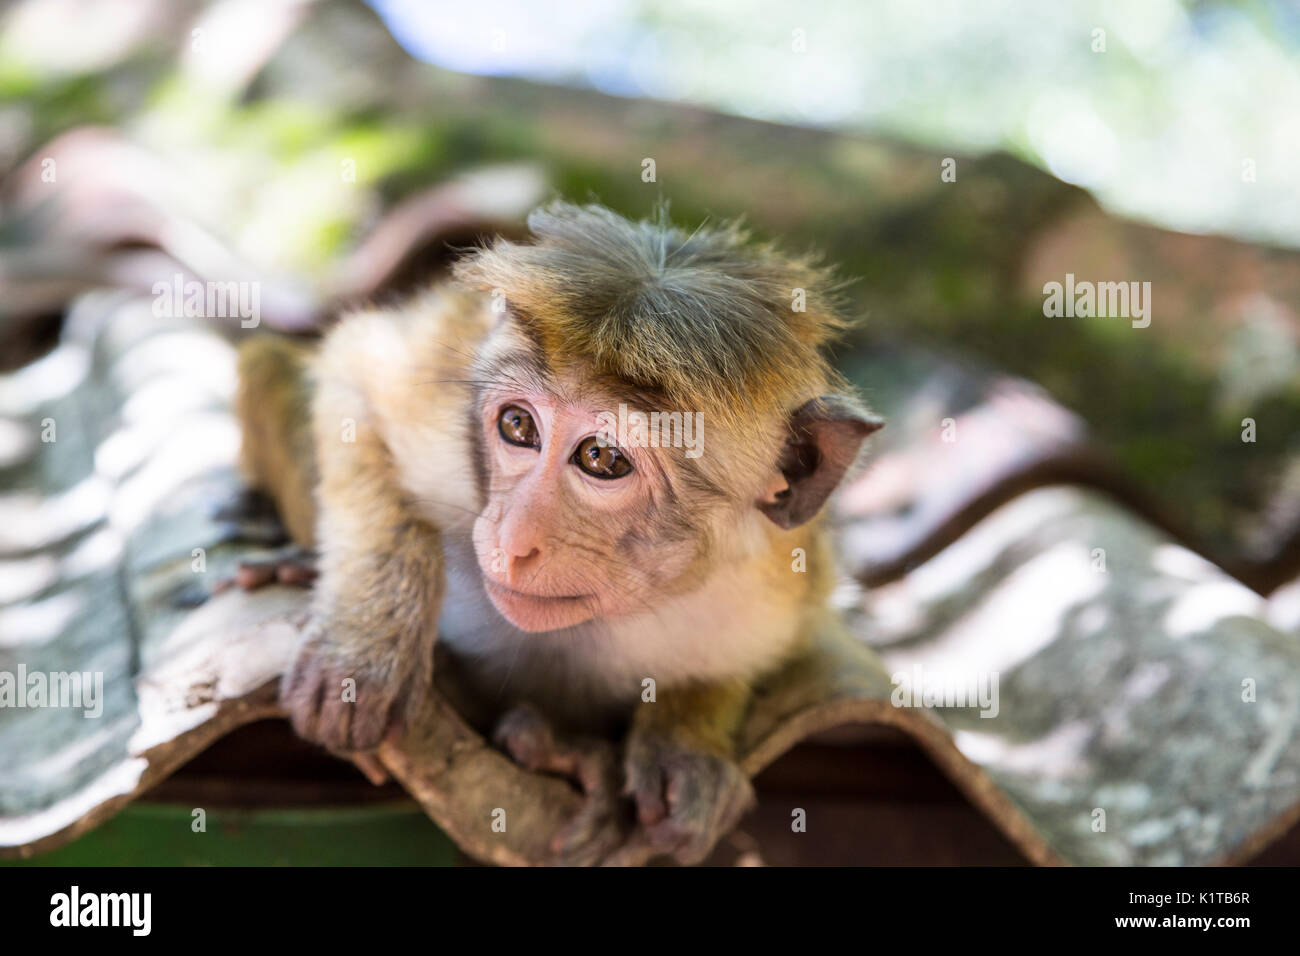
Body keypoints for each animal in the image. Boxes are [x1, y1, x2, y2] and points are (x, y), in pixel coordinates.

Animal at [231, 202, 882, 864]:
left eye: (602, 459)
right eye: (518, 426)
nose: (513, 541)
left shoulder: (773, 579)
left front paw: (686, 737)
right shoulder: (438, 409)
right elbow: (355, 373)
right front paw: (364, 643)